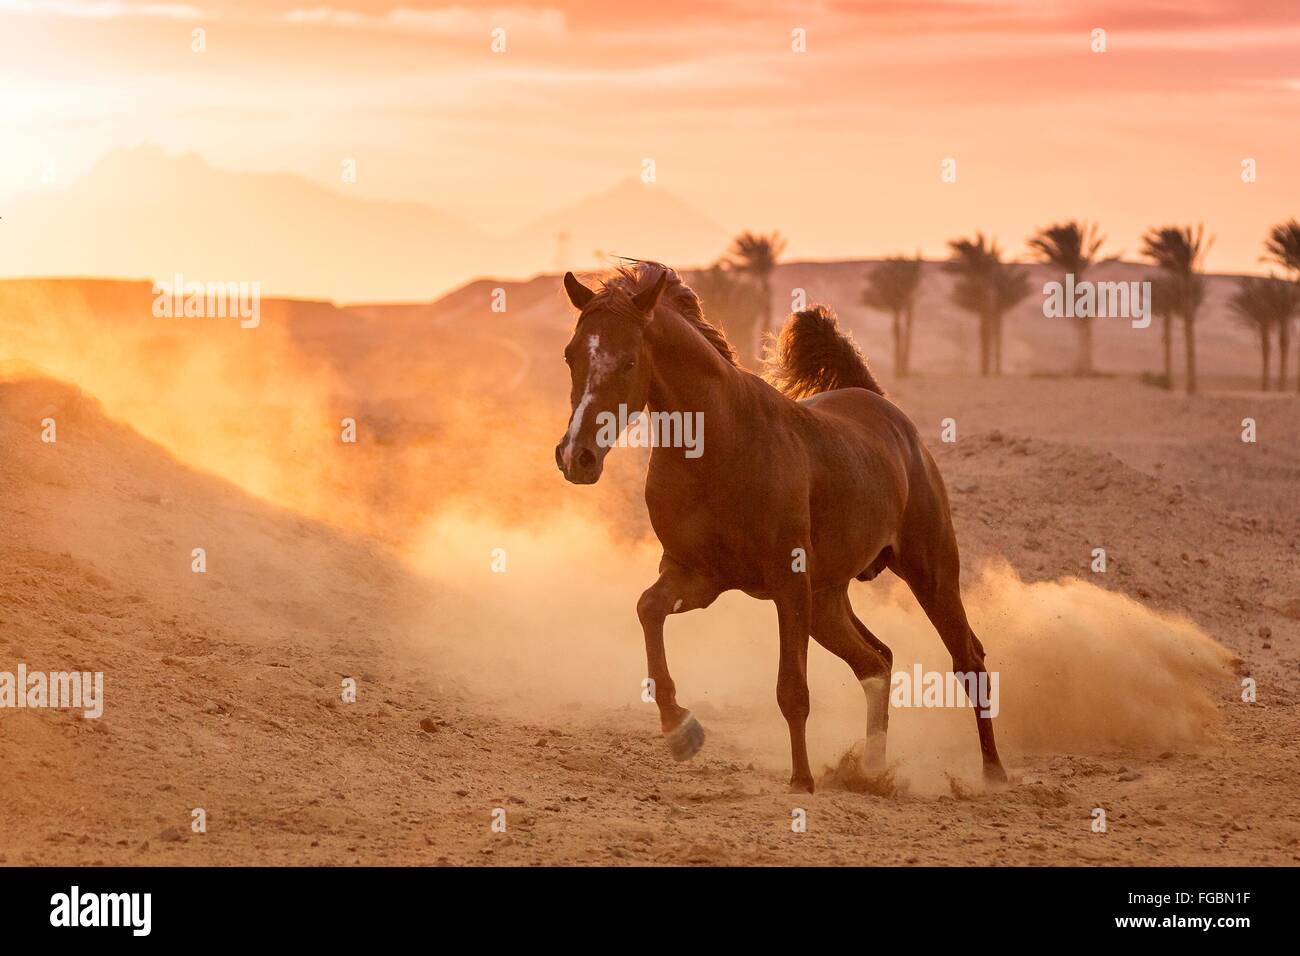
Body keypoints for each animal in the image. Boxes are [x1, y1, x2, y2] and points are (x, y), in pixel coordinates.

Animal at [554, 262, 1005, 792]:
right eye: (570, 355)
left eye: (627, 361)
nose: (576, 456)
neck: (719, 446)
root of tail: (890, 414)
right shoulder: (697, 577)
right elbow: (648, 610)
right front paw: (681, 732)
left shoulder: (788, 585)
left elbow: (792, 690)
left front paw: (801, 781)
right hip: (827, 601)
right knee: (876, 662)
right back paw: (871, 771)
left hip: (929, 574)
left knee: (969, 660)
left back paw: (993, 774)